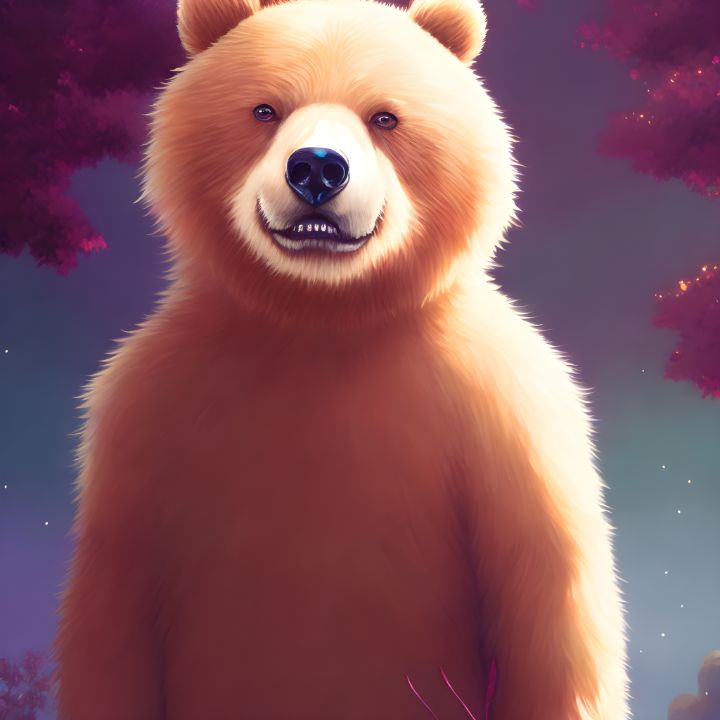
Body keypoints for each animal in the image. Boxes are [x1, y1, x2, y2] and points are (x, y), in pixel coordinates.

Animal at [52, 0, 630, 718]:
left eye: (384, 116)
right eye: (265, 108)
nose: (318, 168)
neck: (324, 319)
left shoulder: (500, 417)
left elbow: (545, 610)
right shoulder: (148, 419)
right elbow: (114, 616)